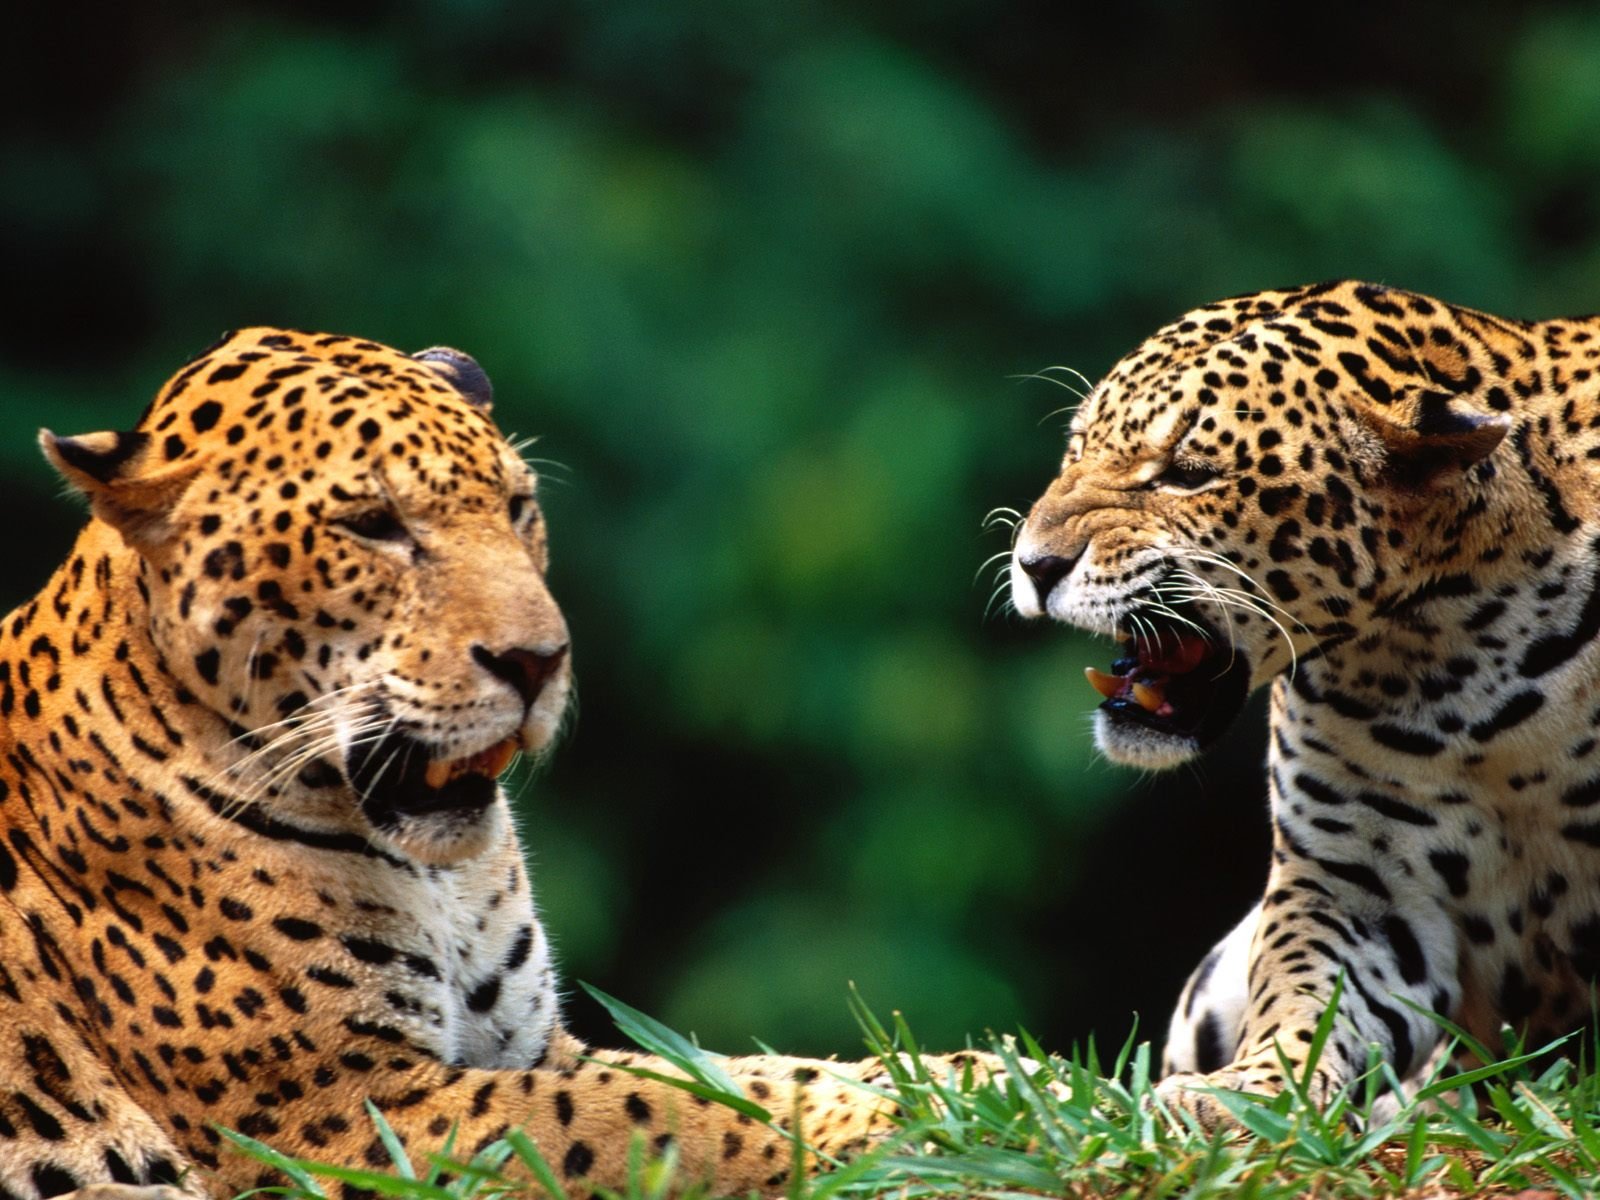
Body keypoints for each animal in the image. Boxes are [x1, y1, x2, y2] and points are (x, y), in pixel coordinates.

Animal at [0, 328, 992, 1200]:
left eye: (518, 508)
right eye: (373, 524)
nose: (538, 661)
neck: (438, 882)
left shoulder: (534, 1047)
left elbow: (738, 1073)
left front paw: (980, 1080)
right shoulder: (341, 1116)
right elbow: (669, 1116)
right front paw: (887, 1130)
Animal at [1008, 280, 1600, 1125]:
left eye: (1187, 472)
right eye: (1079, 445)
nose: (1033, 564)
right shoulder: (1358, 883)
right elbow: (1304, 1000)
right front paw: (1249, 1093)